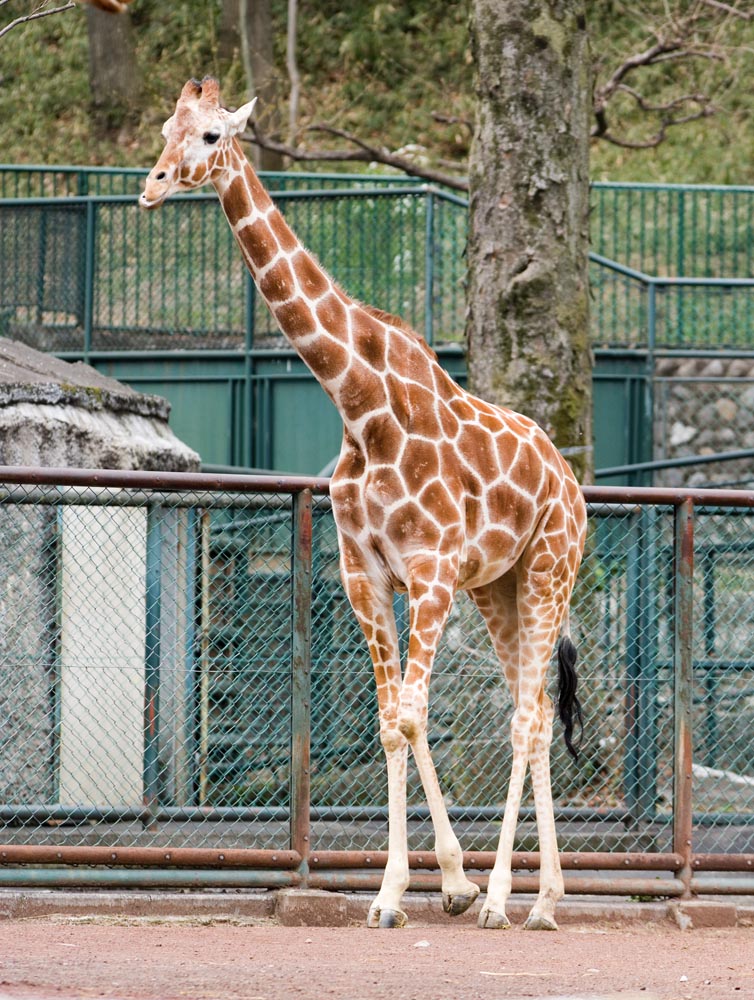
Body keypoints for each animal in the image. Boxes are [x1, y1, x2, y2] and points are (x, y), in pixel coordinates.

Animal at [141, 77, 587, 932]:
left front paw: (446, 885)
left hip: (550, 568)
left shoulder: (432, 569)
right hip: (501, 586)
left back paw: (507, 899)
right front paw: (403, 891)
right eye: (164, 130)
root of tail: (569, 479)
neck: (359, 405)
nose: (150, 187)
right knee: (541, 710)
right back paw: (546, 899)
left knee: (523, 717)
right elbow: (388, 722)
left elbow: (412, 714)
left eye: (211, 135)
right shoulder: (365, 574)